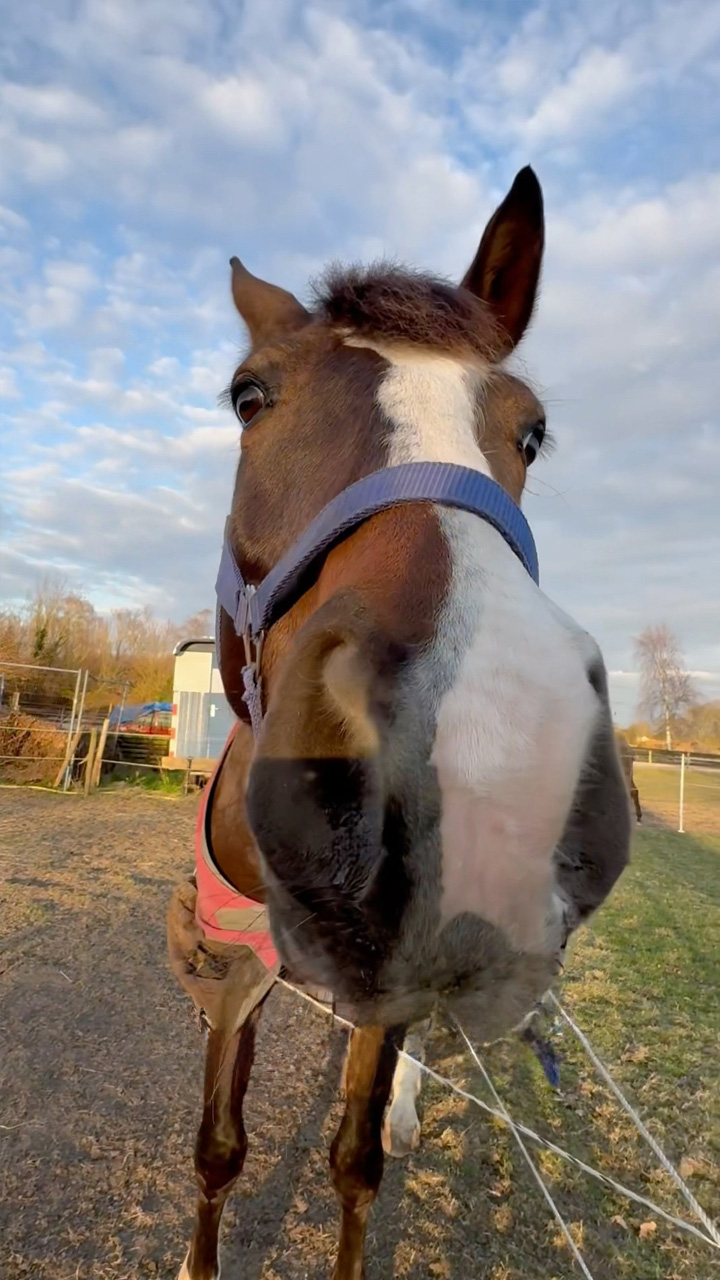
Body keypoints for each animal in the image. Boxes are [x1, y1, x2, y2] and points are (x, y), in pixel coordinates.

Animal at [167, 166, 631, 1280]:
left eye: (530, 429)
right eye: (249, 396)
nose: (478, 746)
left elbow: (354, 1161)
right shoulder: (234, 968)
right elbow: (219, 1146)